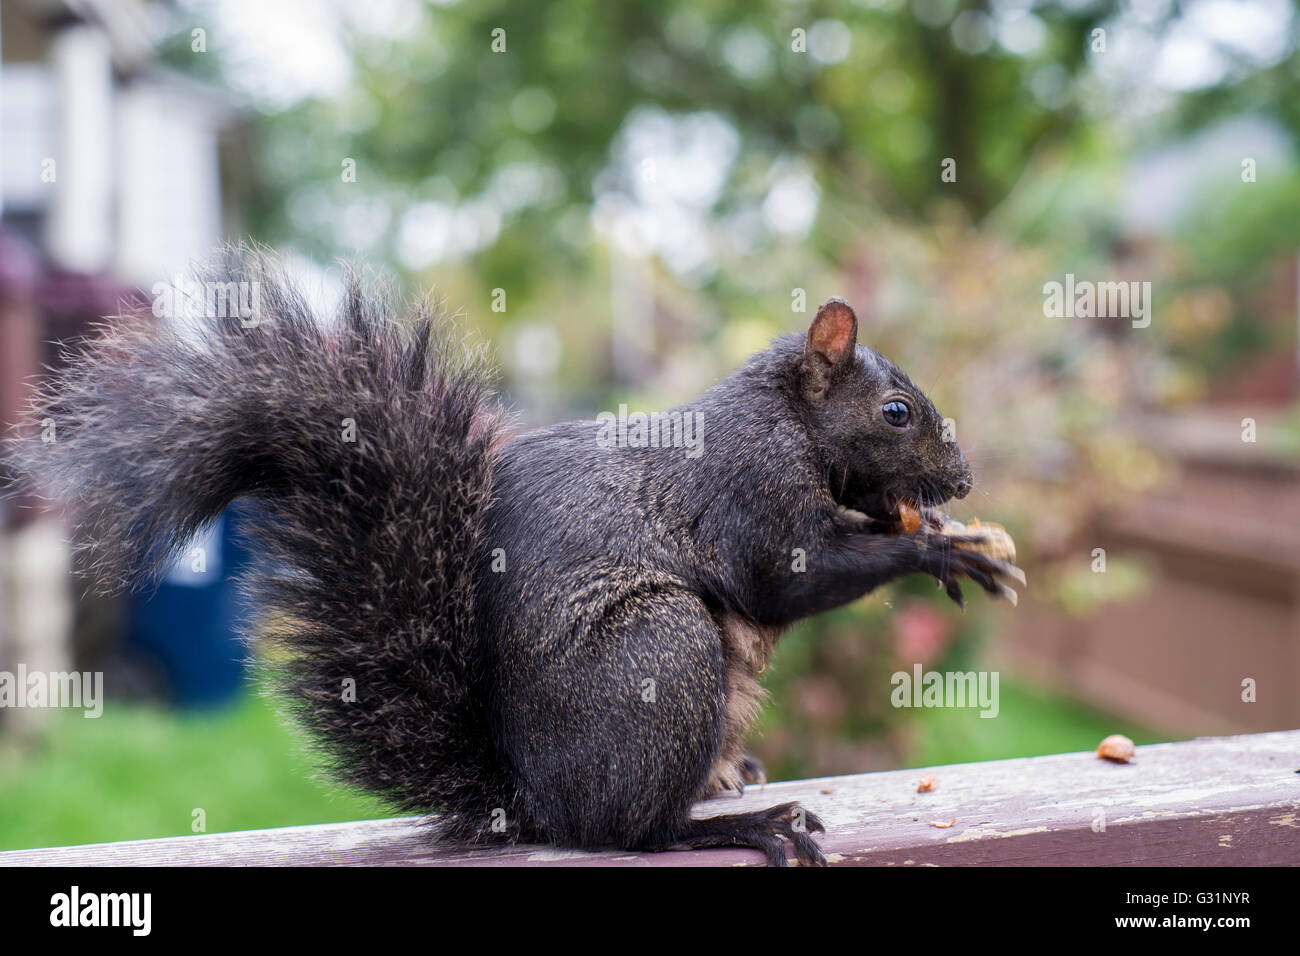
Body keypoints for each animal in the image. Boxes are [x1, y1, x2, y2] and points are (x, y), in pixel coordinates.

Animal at [11, 247, 1023, 866]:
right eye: (896, 412)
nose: (964, 479)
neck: (784, 417)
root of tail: (531, 798)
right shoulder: (750, 495)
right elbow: (788, 578)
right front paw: (941, 550)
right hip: (658, 651)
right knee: (629, 831)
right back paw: (740, 822)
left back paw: (738, 781)